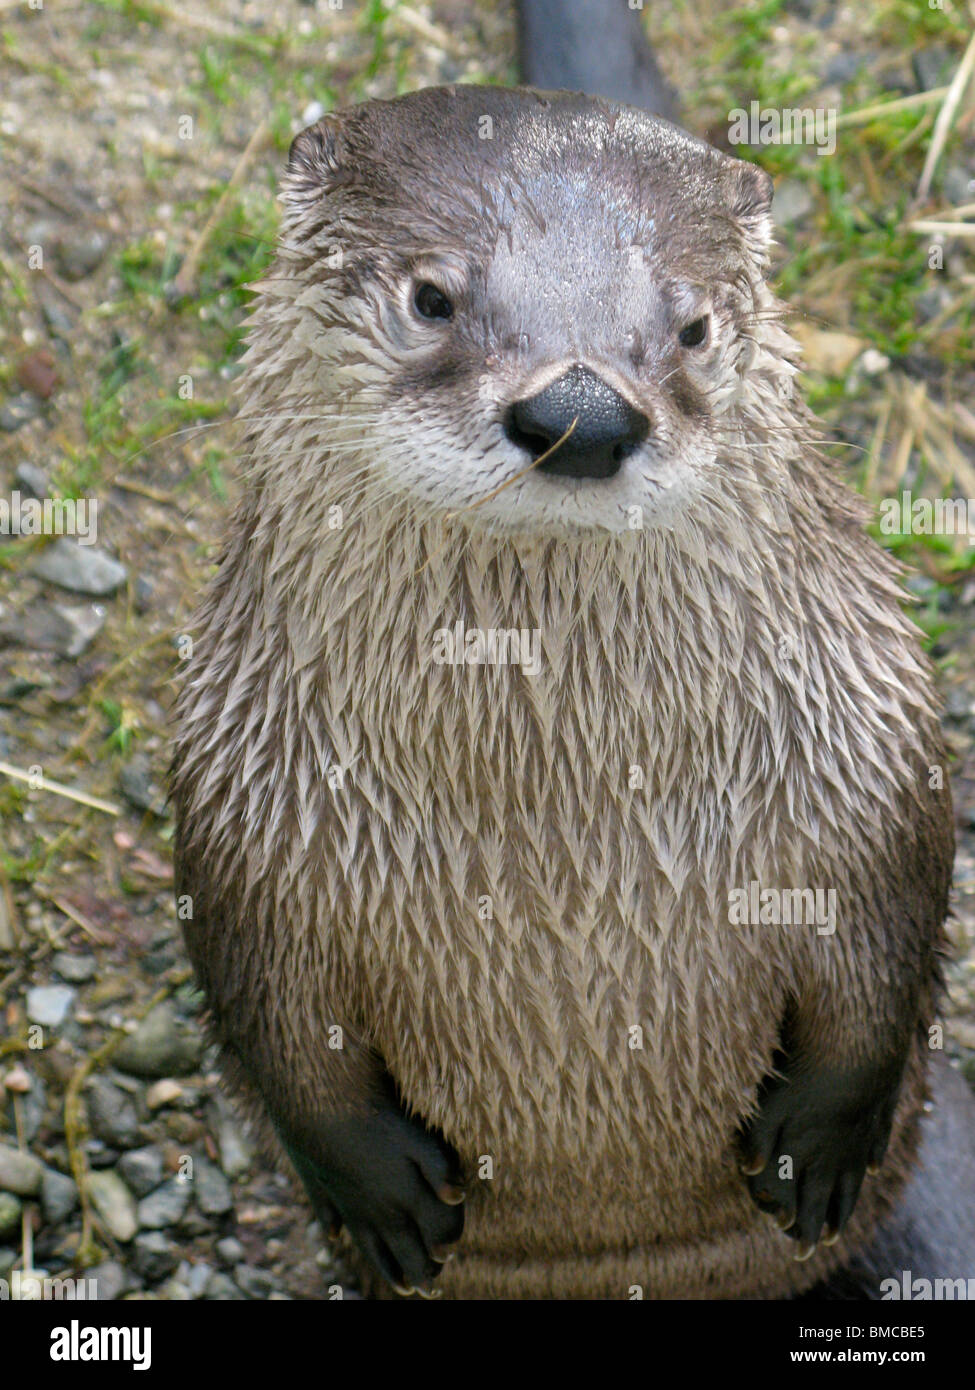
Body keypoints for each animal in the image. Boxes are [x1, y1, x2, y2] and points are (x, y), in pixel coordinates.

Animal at [171, 85, 975, 1299]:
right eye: (432, 297)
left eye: (691, 328)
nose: (585, 414)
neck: (557, 801)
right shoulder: (244, 797)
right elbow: (271, 1020)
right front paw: (369, 1178)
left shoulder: (868, 740)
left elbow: (887, 952)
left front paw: (822, 1137)